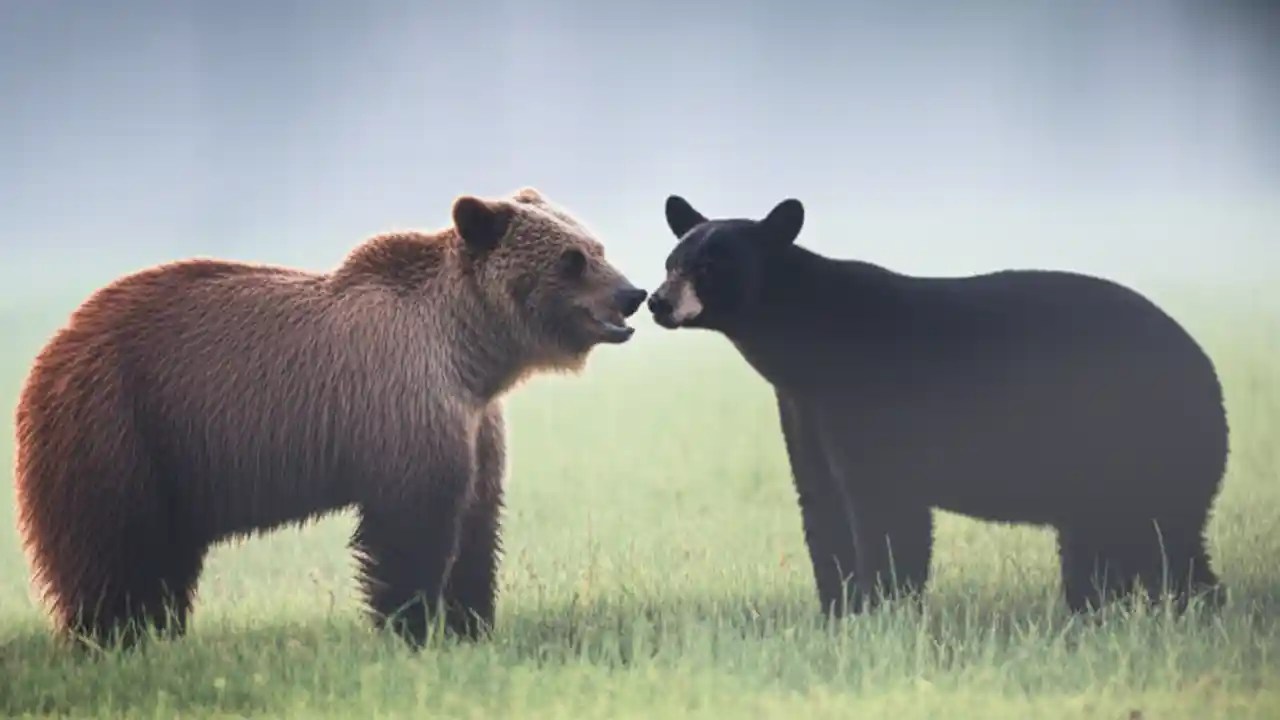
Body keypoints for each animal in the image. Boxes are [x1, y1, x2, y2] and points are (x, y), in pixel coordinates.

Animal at [13, 186, 648, 649]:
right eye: (572, 260)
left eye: (595, 245)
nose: (632, 294)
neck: (471, 349)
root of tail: (52, 349)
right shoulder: (404, 403)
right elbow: (411, 527)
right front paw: (414, 627)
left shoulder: (475, 419)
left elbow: (476, 520)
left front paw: (471, 623)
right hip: (121, 426)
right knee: (114, 549)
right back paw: (111, 636)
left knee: (160, 558)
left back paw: (155, 632)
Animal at [647, 193, 1228, 617]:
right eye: (672, 262)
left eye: (710, 266)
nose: (658, 302)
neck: (807, 344)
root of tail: (1203, 363)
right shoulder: (803, 410)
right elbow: (820, 505)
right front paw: (839, 613)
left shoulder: (863, 400)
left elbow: (884, 506)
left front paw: (883, 609)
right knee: (1107, 543)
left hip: (1143, 433)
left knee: (1163, 535)